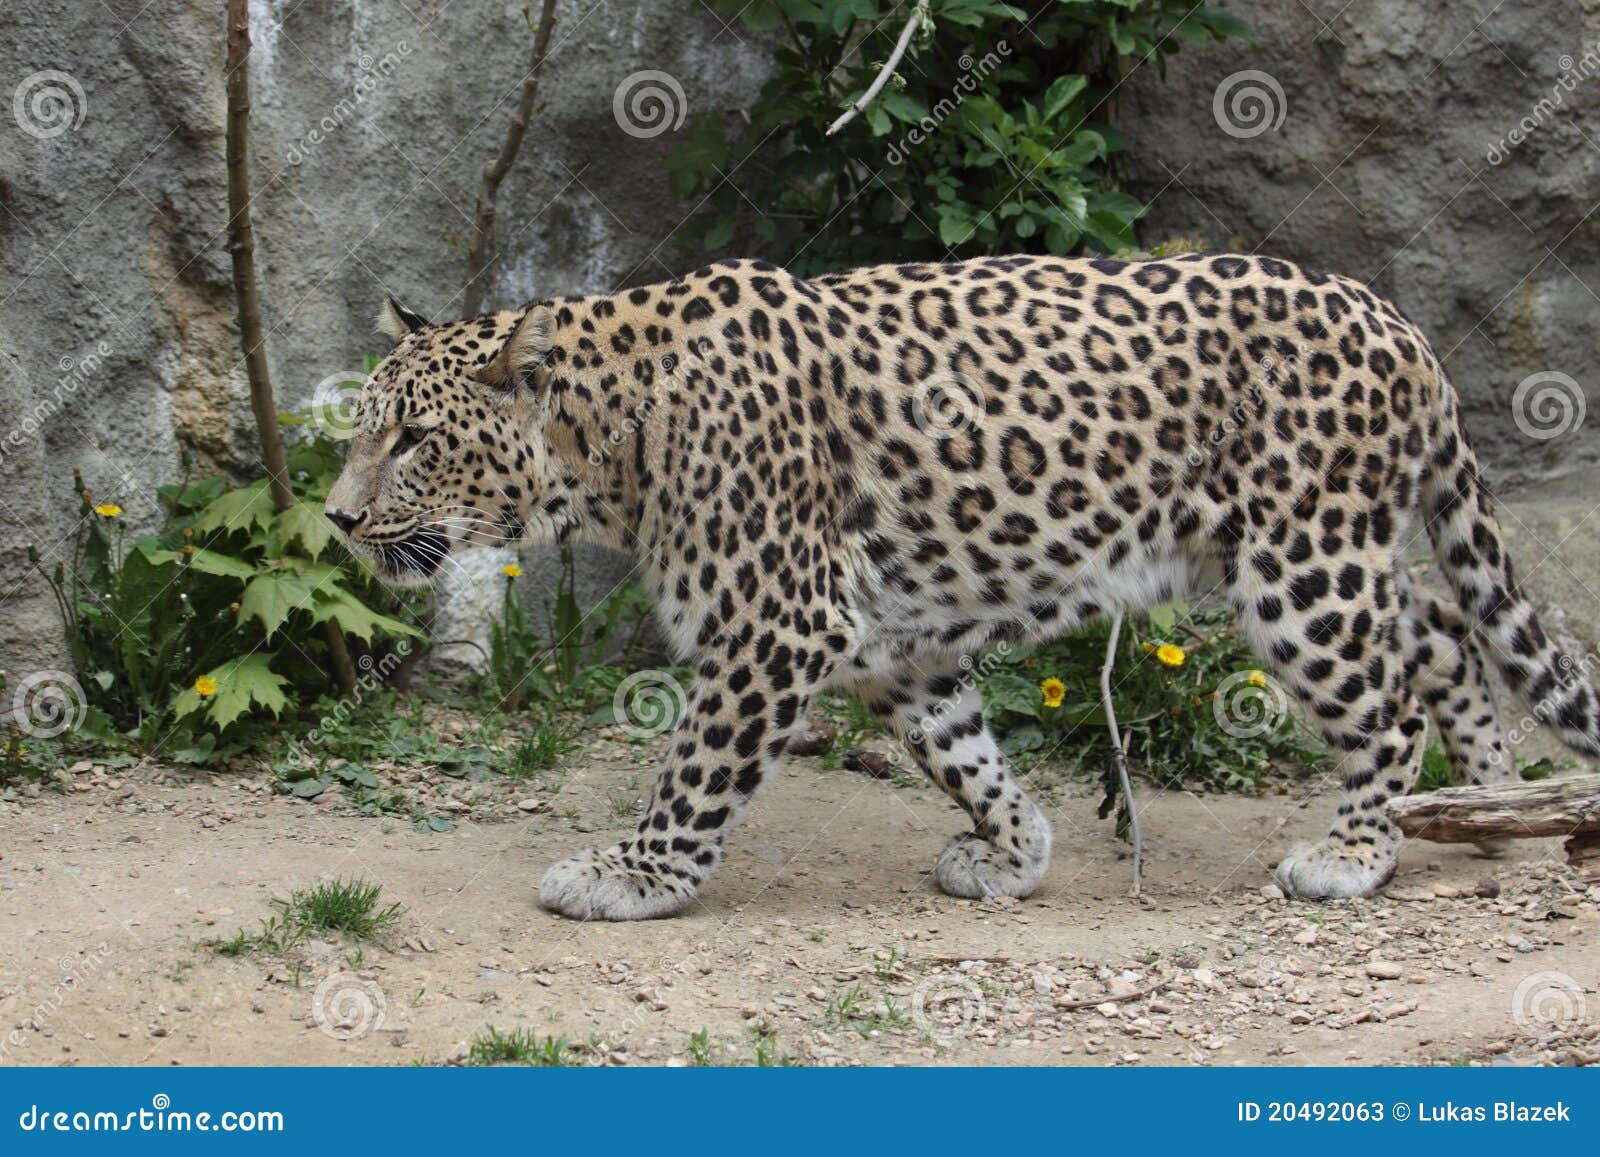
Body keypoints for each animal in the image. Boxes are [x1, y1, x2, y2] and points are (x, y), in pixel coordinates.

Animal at [325, 253, 1600, 921]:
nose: (337, 517)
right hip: (1326, 554)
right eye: (365, 430)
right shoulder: (895, 639)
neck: (609, 450)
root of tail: (1398, 318)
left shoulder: (773, 622)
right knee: (1444, 633)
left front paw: (628, 874)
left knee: (1388, 700)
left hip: (1304, 568)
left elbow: (694, 768)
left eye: (412, 439)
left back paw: (1359, 848)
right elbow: (962, 750)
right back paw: (1491, 809)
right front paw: (1014, 848)